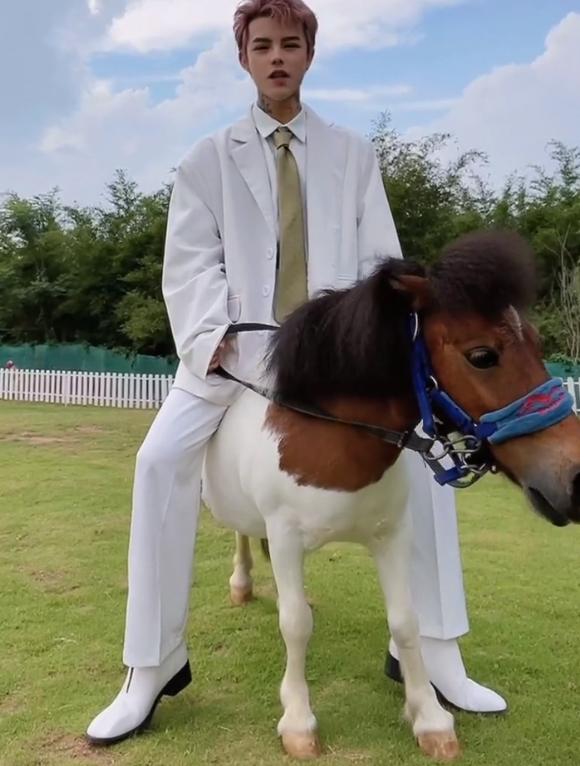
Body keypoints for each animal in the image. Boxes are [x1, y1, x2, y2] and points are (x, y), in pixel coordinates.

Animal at [202, 230, 580, 761]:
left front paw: (430, 719)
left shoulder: (391, 535)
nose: (575, 478)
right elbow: (295, 624)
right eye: (483, 355)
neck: (332, 439)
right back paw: (241, 583)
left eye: (538, 345)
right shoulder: (287, 537)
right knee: (240, 537)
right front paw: (298, 721)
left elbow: (405, 621)